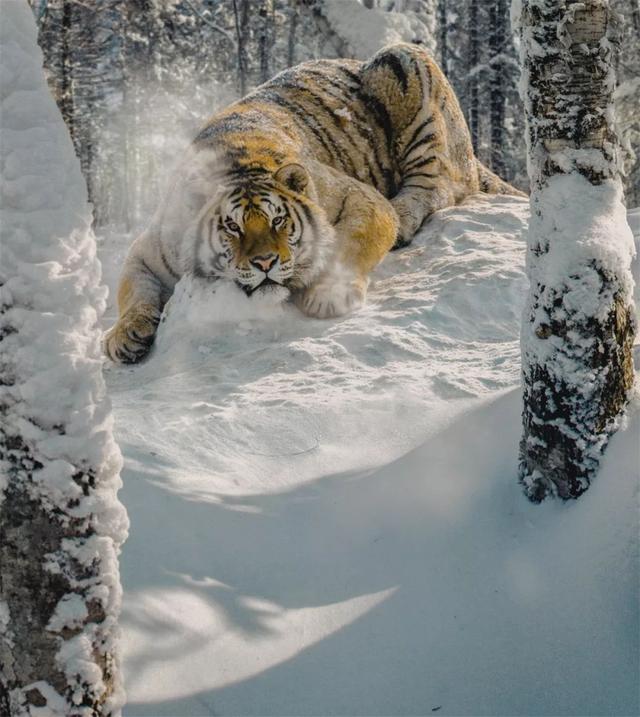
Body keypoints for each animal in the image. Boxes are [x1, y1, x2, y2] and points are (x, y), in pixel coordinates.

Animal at [104, 42, 523, 363]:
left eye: (278, 221)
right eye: (232, 227)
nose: (266, 263)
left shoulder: (362, 199)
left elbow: (353, 241)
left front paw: (327, 295)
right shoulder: (150, 248)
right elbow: (132, 290)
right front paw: (124, 336)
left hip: (405, 69)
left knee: (440, 185)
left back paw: (406, 217)